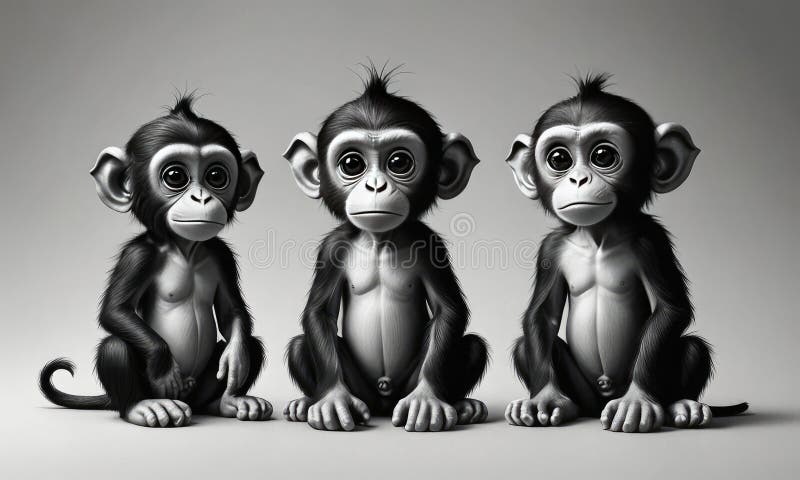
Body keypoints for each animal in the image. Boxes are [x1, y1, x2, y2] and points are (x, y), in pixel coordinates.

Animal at [39, 94, 272, 427]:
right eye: (175, 176)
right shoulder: (138, 255)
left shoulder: (222, 254)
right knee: (115, 345)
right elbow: (115, 311)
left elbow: (232, 313)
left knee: (252, 346)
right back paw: (144, 406)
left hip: (200, 393)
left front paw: (236, 358)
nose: (201, 198)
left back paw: (228, 402)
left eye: (216, 176)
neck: (184, 248)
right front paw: (163, 367)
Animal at [281, 66, 488, 432]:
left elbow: (448, 310)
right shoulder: (331, 249)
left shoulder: (431, 246)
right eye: (352, 163)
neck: (379, 241)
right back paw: (306, 402)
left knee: (473, 345)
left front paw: (427, 399)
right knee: (298, 346)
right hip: (363, 390)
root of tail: (382, 401)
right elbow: (319, 313)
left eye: (399, 162)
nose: (375, 185)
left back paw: (463, 404)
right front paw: (333, 398)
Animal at [504, 74, 747, 433]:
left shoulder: (652, 241)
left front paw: (637, 401)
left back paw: (681, 404)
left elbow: (670, 309)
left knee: (693, 347)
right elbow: (542, 316)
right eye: (559, 159)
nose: (578, 179)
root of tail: (599, 403)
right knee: (526, 347)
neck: (598, 236)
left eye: (603, 155)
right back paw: (569, 407)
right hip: (586, 395)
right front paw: (544, 397)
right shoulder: (550, 249)